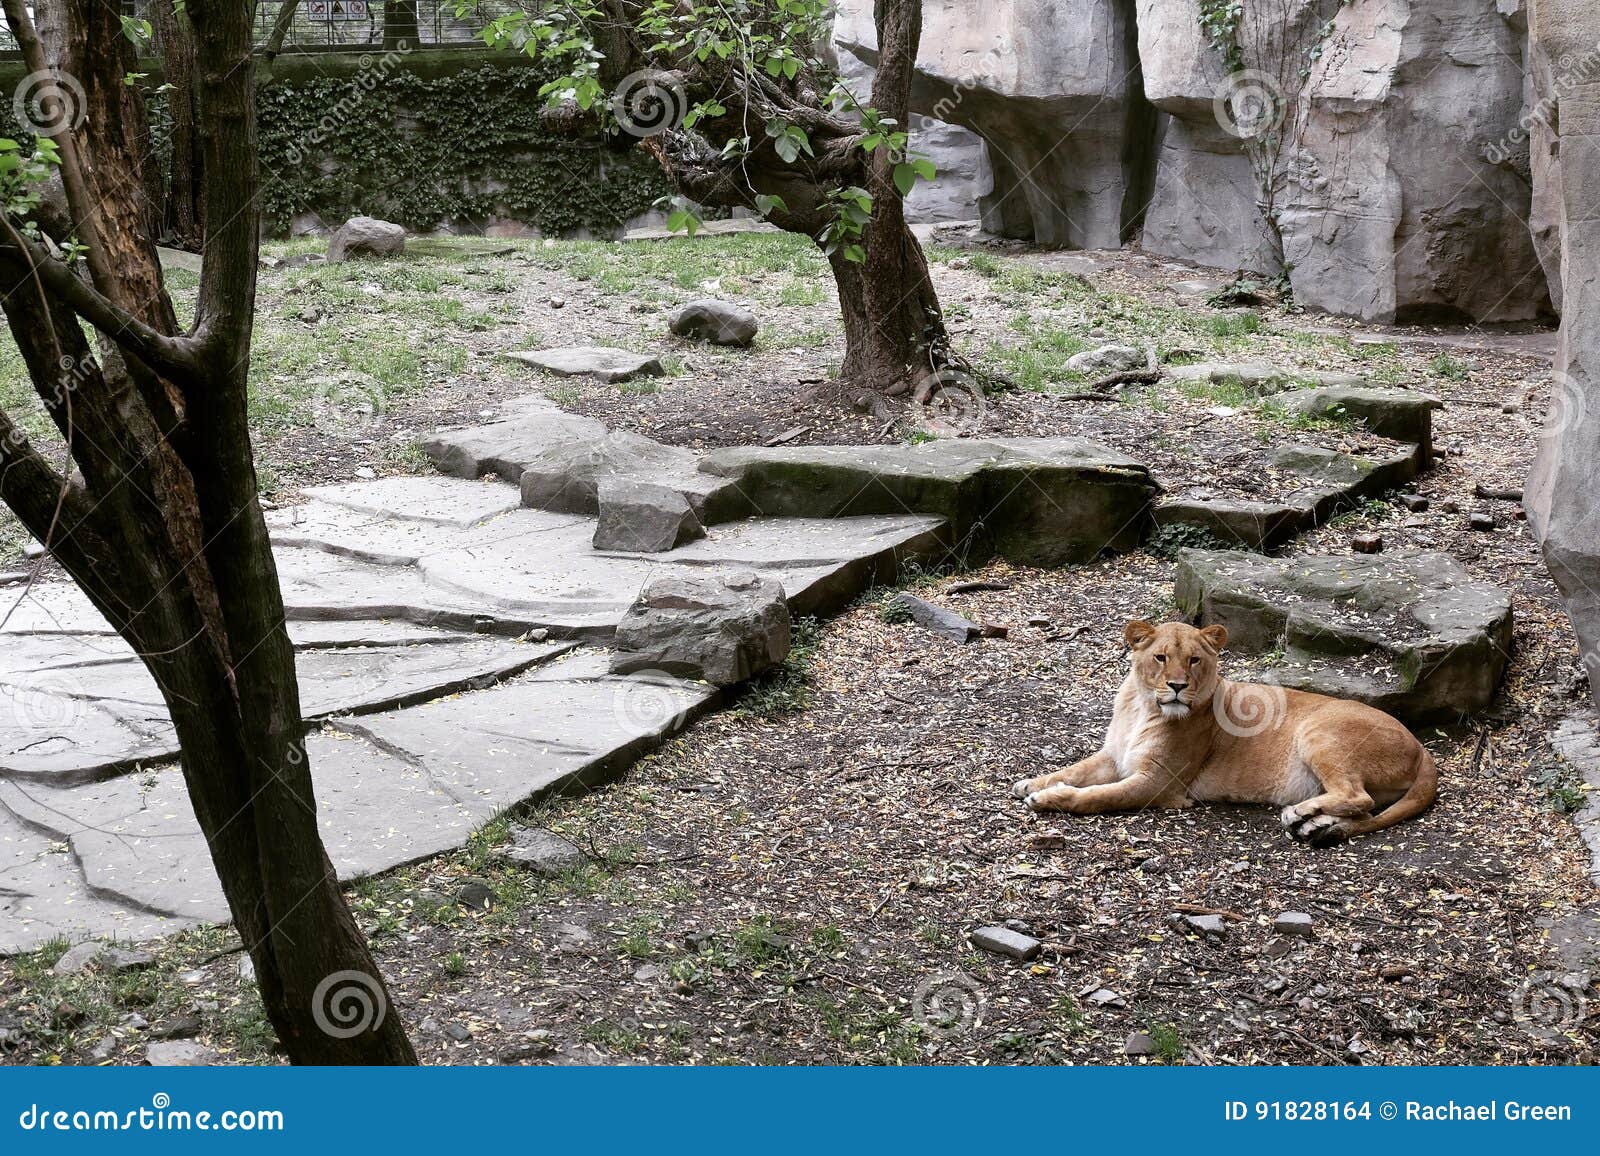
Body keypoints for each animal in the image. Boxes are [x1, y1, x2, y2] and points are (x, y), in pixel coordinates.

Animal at [1011, 619, 1437, 846]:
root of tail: (1422, 748)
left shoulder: (1159, 784)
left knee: (1359, 797)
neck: (1142, 707)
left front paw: (1049, 798)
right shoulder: (1115, 757)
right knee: (1362, 808)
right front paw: (1032, 783)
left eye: (1194, 660)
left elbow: (1099, 796)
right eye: (1161, 657)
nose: (1178, 686)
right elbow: (1076, 769)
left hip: (1318, 729)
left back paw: (1299, 812)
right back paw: (1314, 823)